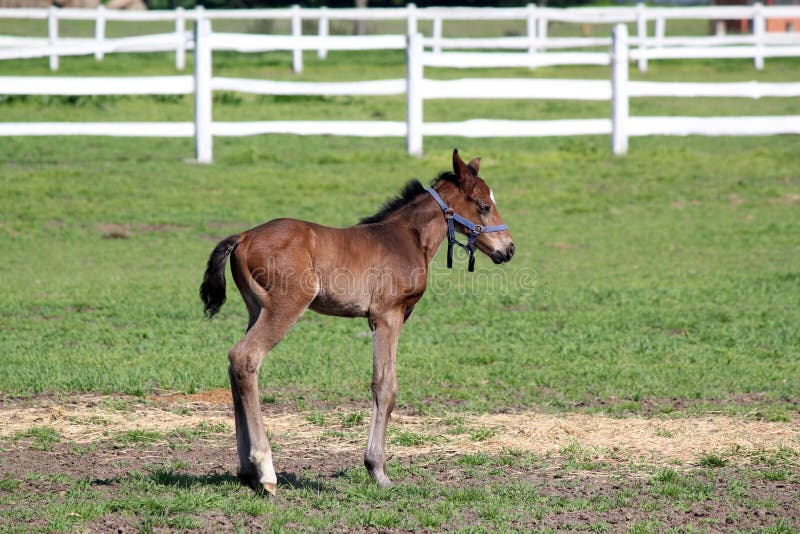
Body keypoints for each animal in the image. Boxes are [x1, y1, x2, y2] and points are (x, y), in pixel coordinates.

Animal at [199, 149, 515, 494]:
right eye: (483, 205)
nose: (509, 248)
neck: (406, 239)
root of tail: (243, 236)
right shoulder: (387, 316)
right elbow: (385, 386)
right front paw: (377, 470)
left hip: (256, 309)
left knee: (236, 365)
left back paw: (246, 472)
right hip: (286, 306)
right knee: (246, 357)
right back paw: (266, 473)